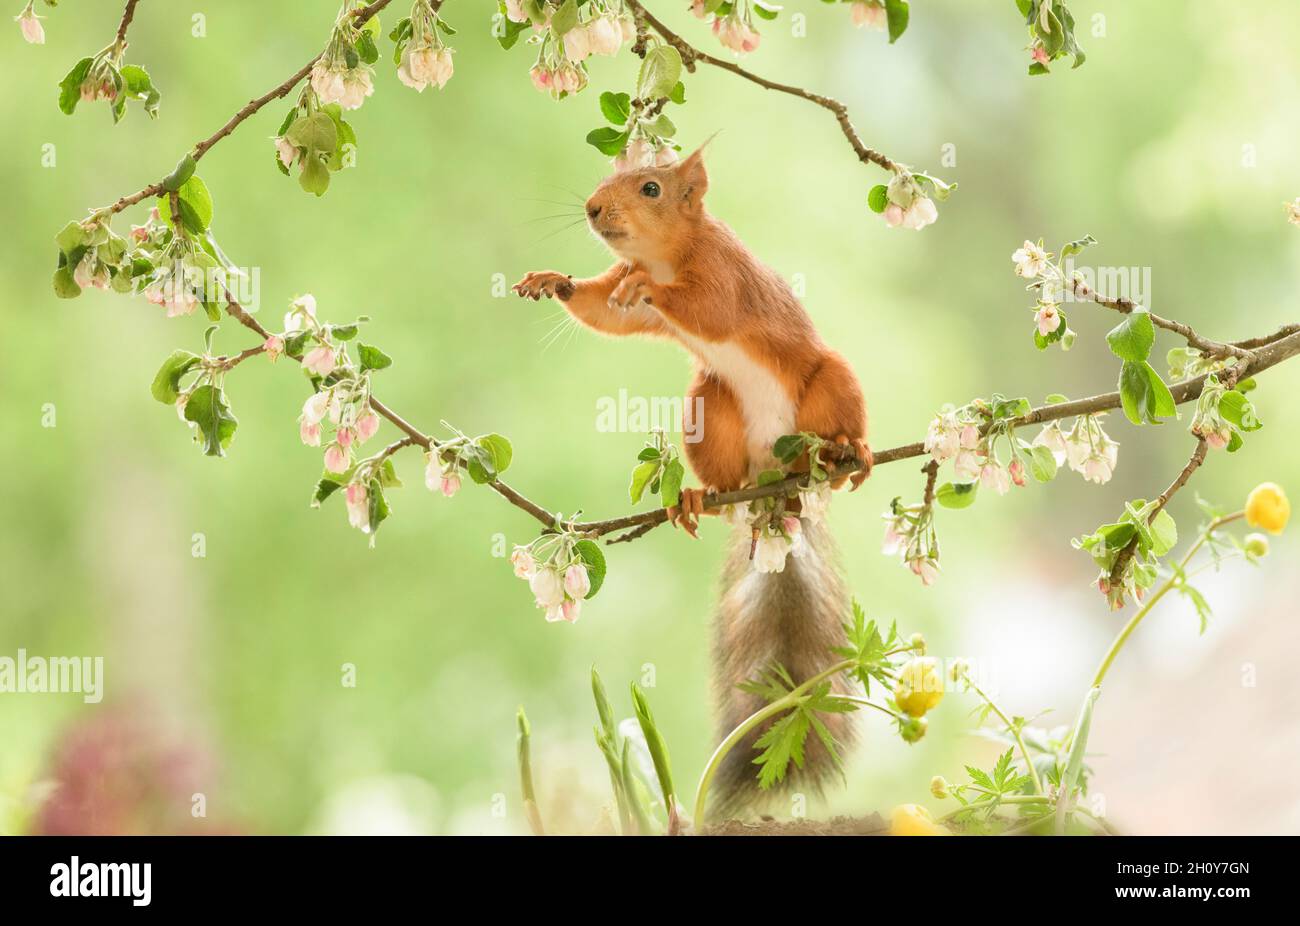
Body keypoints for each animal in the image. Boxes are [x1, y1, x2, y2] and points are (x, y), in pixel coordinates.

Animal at [513, 146, 872, 820]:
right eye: (606, 178)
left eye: (651, 188)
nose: (592, 209)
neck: (661, 254)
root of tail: (775, 483)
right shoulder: (623, 298)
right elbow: (603, 308)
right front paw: (555, 281)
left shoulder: (723, 274)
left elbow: (710, 310)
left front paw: (652, 288)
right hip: (709, 401)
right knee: (721, 476)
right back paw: (696, 497)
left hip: (830, 381)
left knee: (838, 421)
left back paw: (850, 451)